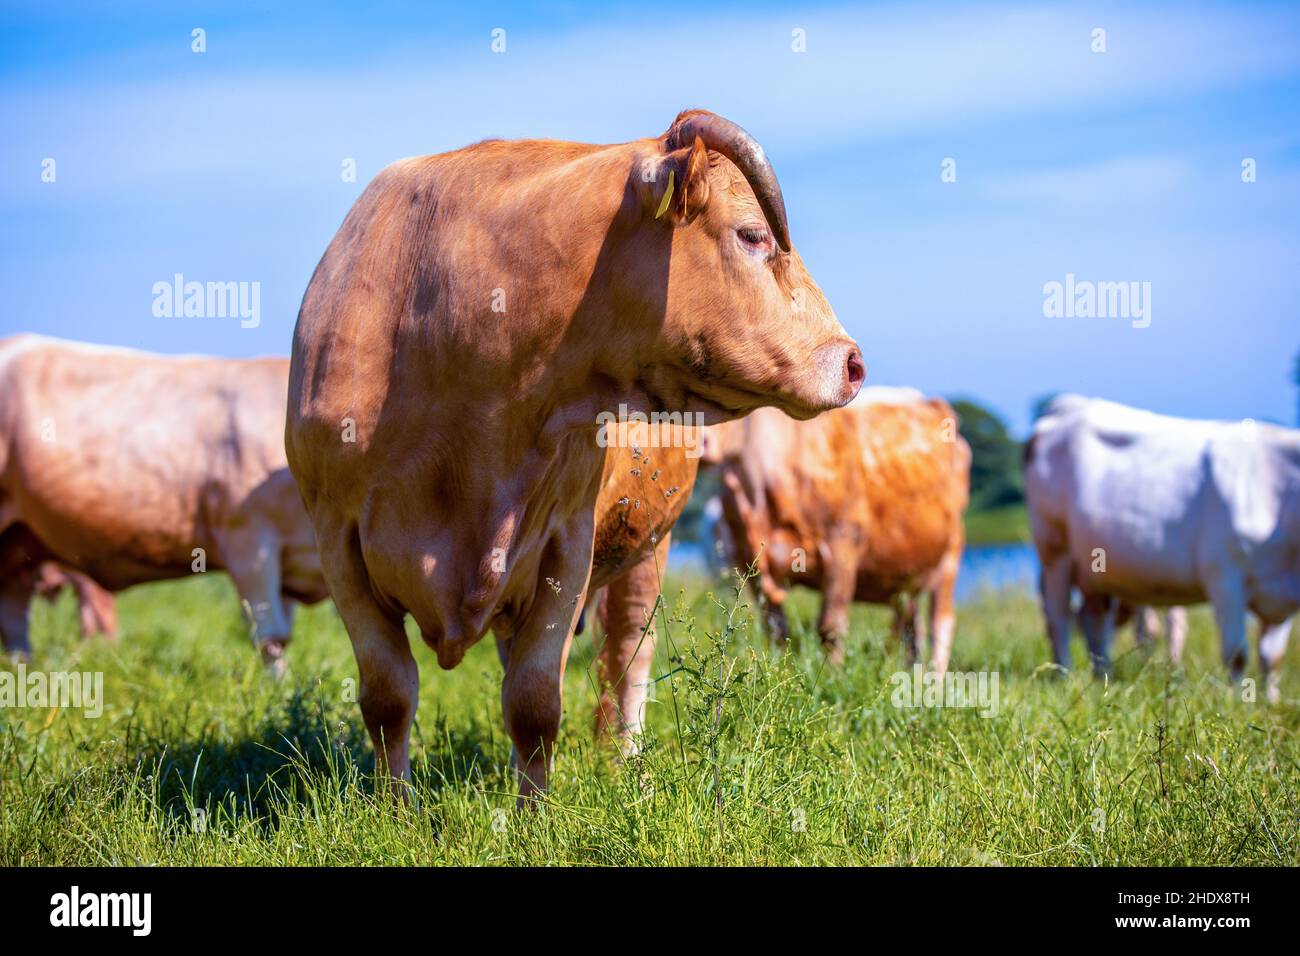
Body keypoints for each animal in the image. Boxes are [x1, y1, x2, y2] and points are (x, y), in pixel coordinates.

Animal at [286, 109, 864, 800]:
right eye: (753, 235)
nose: (853, 361)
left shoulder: (568, 541)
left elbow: (535, 702)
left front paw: (534, 812)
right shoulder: (336, 540)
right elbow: (388, 699)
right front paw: (395, 810)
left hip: (650, 550)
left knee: (626, 658)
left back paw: (624, 764)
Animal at [702, 387, 970, 673]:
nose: (701, 443)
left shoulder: (843, 545)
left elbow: (830, 625)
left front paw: (831, 674)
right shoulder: (747, 561)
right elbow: (775, 629)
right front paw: (779, 670)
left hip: (950, 553)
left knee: (940, 622)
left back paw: (935, 676)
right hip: (907, 570)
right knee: (910, 625)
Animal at [1024, 394, 1299, 699]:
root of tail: (1068, 403)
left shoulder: (1282, 592)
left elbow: (1272, 658)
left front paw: (1270, 702)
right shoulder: (1224, 578)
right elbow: (1237, 653)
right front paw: (1238, 701)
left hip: (1093, 567)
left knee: (1093, 618)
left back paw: (1102, 678)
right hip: (1055, 550)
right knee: (1058, 617)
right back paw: (1065, 675)